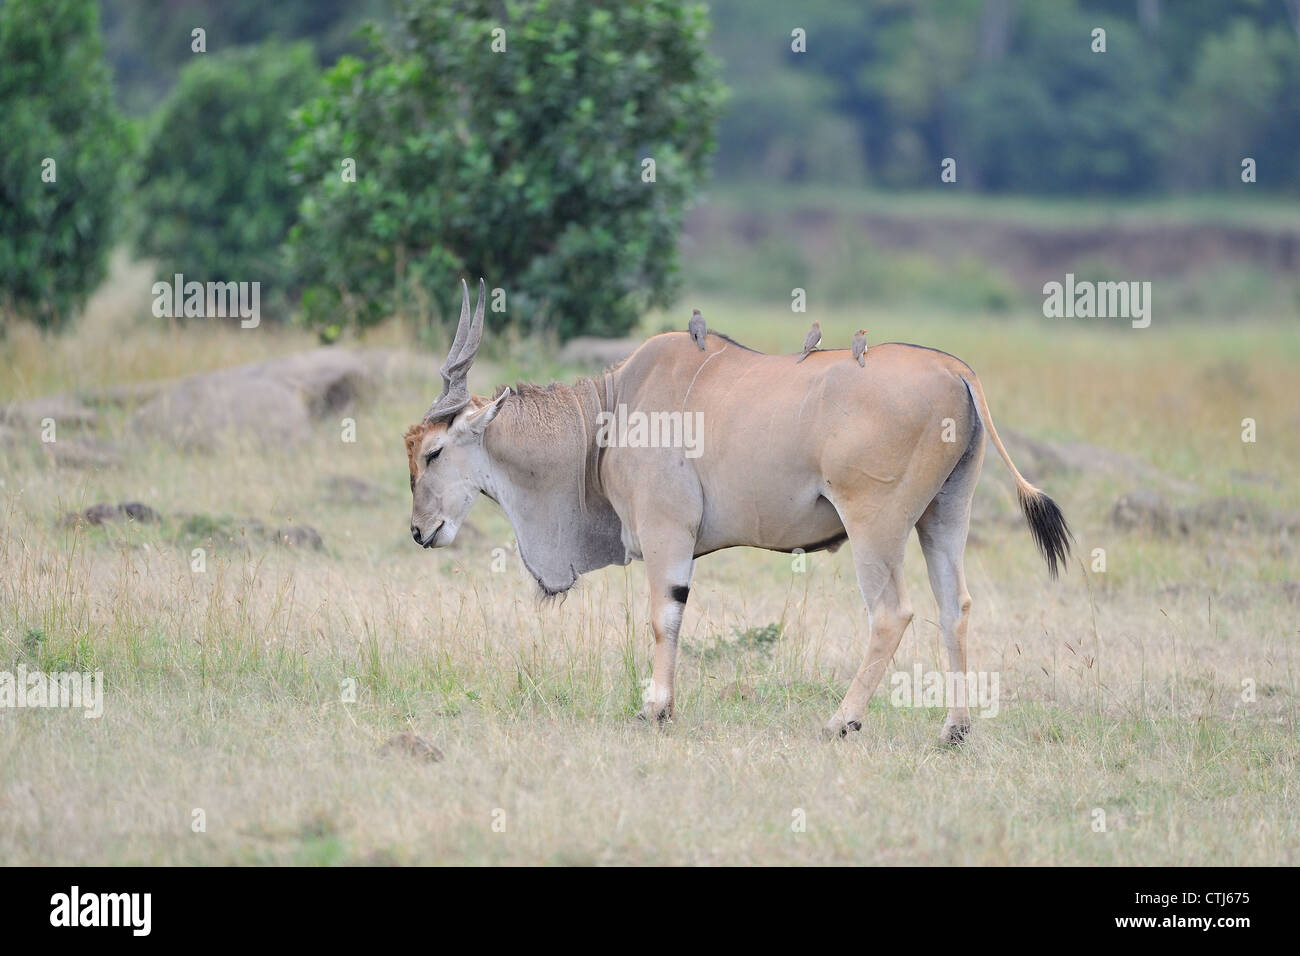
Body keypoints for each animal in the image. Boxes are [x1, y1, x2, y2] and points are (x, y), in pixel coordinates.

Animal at [406, 280, 1071, 742]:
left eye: (433, 452)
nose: (419, 531)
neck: (607, 412)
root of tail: (957, 370)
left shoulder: (667, 533)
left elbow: (663, 618)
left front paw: (655, 708)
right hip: (944, 518)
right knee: (954, 607)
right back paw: (954, 729)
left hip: (875, 525)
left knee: (892, 613)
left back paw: (841, 721)